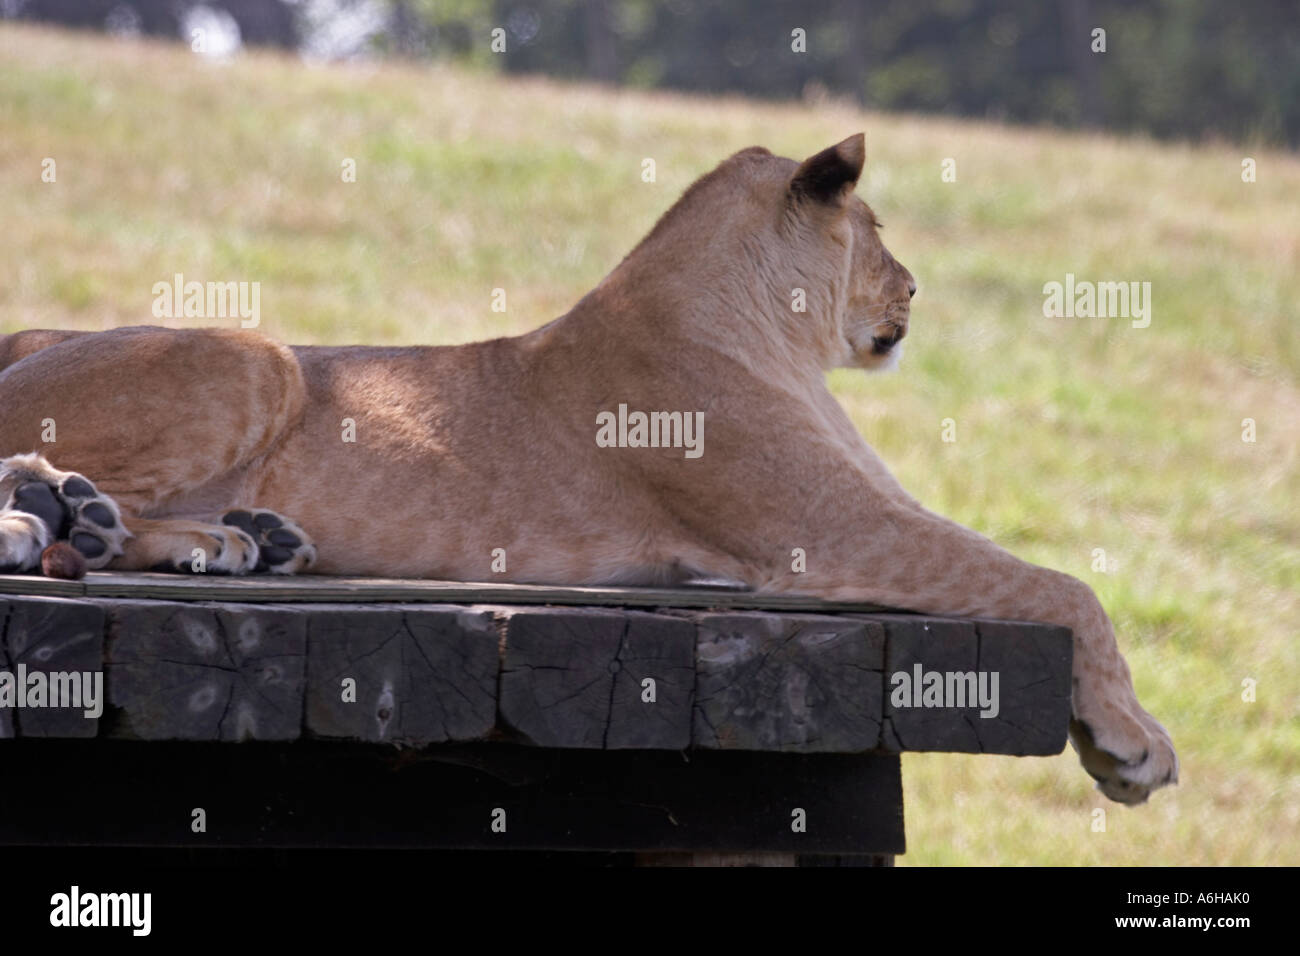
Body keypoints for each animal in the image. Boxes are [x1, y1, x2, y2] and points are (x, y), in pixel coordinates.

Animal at [0, 134, 1177, 803]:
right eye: (875, 227)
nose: (916, 289)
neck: (776, 340)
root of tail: (30, 333)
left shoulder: (863, 514)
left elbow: (1040, 576)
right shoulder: (836, 533)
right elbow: (1058, 584)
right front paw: (1134, 746)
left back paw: (221, 537)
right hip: (259, 352)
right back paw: (105, 524)